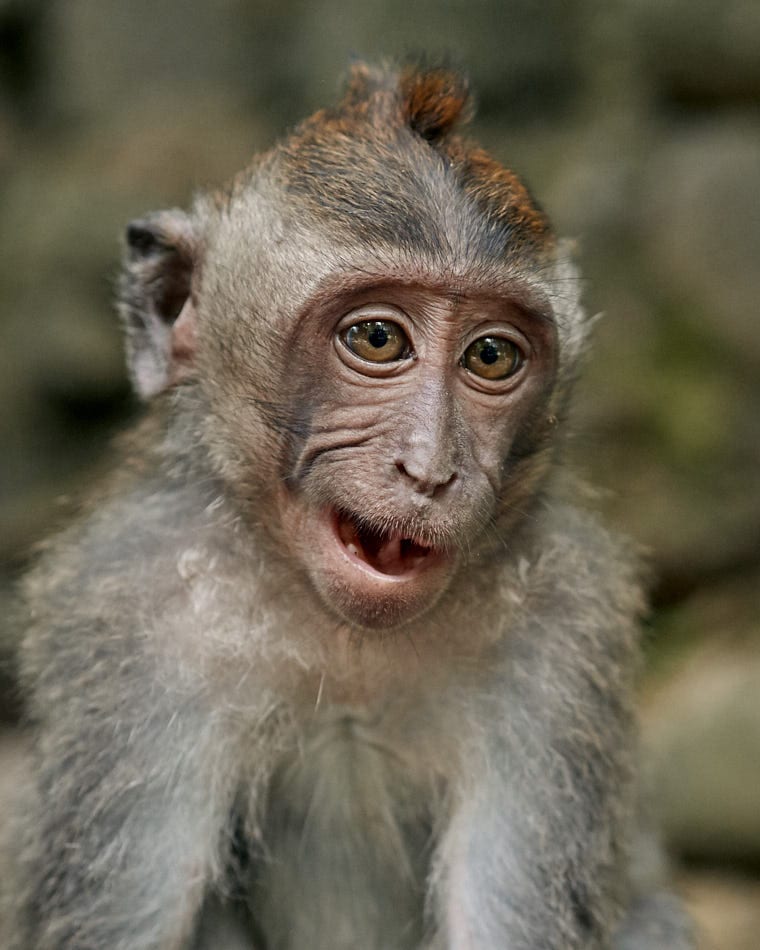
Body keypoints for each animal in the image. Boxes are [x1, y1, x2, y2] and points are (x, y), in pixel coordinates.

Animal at [0, 62, 693, 950]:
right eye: (376, 340)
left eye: (491, 356)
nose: (429, 470)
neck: (347, 637)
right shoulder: (124, 623)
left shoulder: (566, 632)